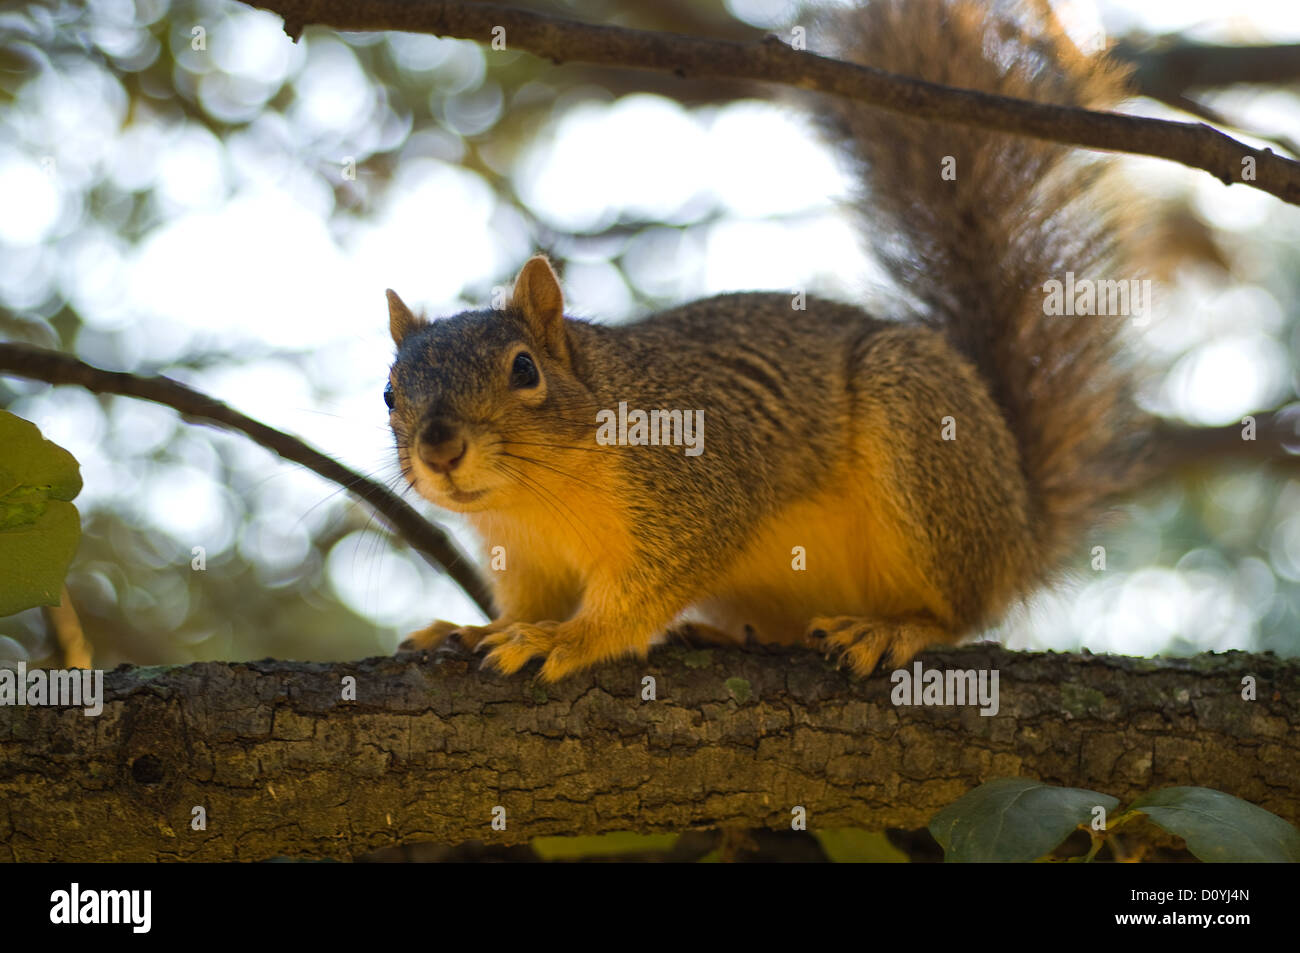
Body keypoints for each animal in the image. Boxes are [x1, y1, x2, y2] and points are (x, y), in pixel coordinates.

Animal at [384, 0, 1146, 682]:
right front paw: (474, 627)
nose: (439, 448)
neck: (535, 497)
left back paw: (893, 627)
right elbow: (523, 601)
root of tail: (1021, 529)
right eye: (390, 393)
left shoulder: (698, 484)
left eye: (524, 369)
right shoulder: (526, 559)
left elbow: (643, 590)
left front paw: (566, 638)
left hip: (924, 435)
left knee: (958, 612)